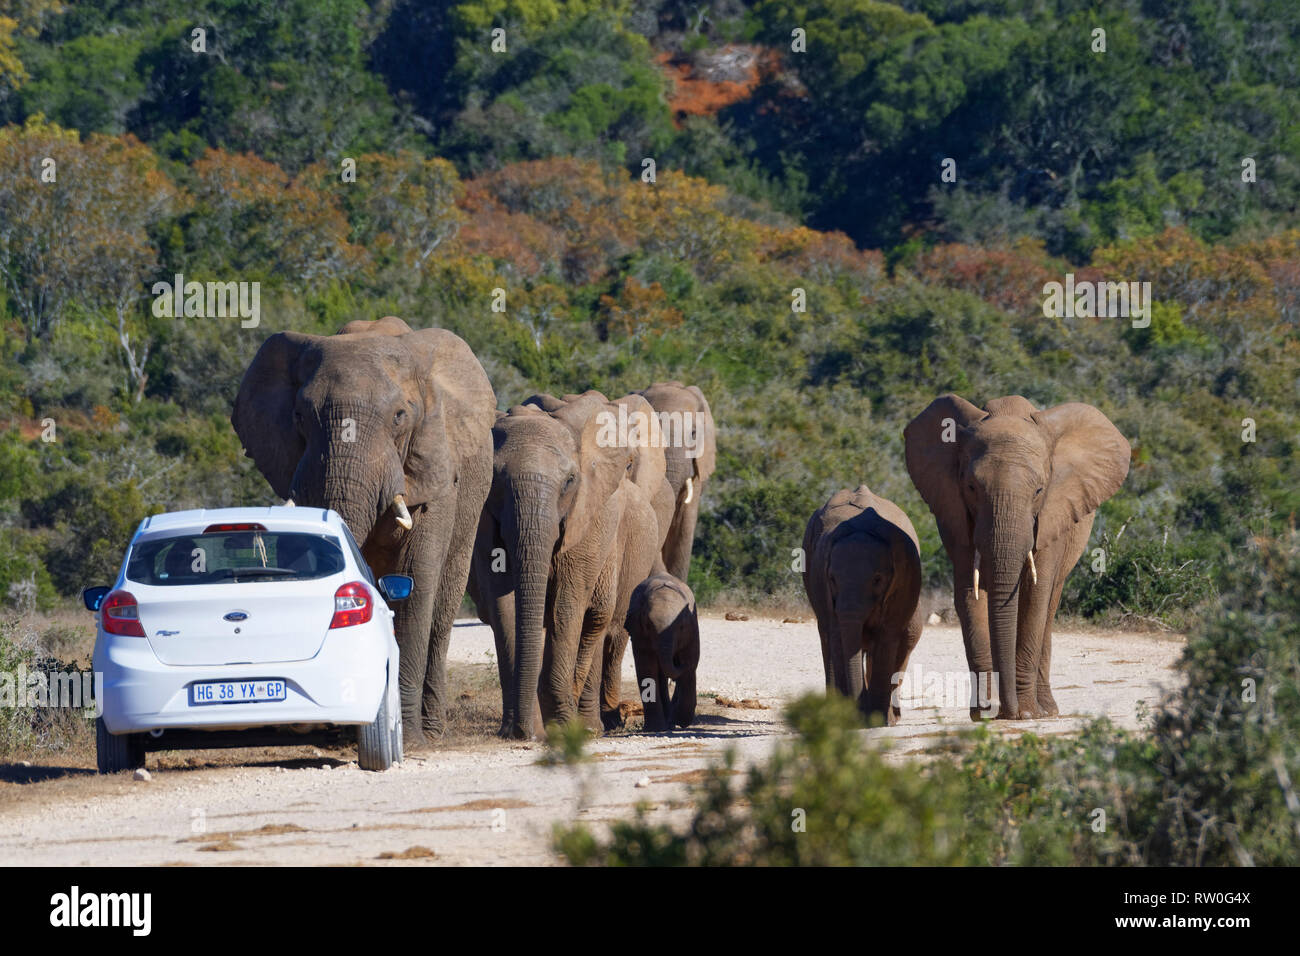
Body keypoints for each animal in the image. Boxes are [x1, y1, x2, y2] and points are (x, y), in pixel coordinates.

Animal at [231, 316, 497, 745]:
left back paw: (433, 729)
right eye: (300, 416)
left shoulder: (437, 470)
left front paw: (410, 738)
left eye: (399, 416)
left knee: (442, 606)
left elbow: (415, 580)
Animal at [468, 392, 662, 738]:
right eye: (495, 480)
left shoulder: (585, 521)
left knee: (598, 617)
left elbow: (567, 604)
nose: (523, 732)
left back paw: (591, 726)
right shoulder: (484, 520)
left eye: (570, 481)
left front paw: (560, 725)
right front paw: (522, 730)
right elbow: (503, 605)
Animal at [626, 572, 700, 731]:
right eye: (648, 625)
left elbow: (691, 662)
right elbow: (646, 668)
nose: (677, 660)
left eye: (681, 627)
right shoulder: (639, 632)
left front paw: (681, 722)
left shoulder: (692, 628)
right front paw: (655, 729)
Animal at [802, 486, 923, 725]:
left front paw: (877, 720)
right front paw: (852, 719)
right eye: (832, 579)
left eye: (877, 579)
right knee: (827, 636)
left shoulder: (900, 584)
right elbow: (838, 635)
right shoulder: (824, 587)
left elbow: (887, 637)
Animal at [904, 395, 1130, 720]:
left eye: (1038, 490)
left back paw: (1047, 710)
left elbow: (1036, 594)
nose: (1007, 712)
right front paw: (984, 714)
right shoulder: (955, 516)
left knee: (1049, 604)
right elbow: (970, 593)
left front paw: (1026, 714)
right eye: (971, 487)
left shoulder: (1052, 514)